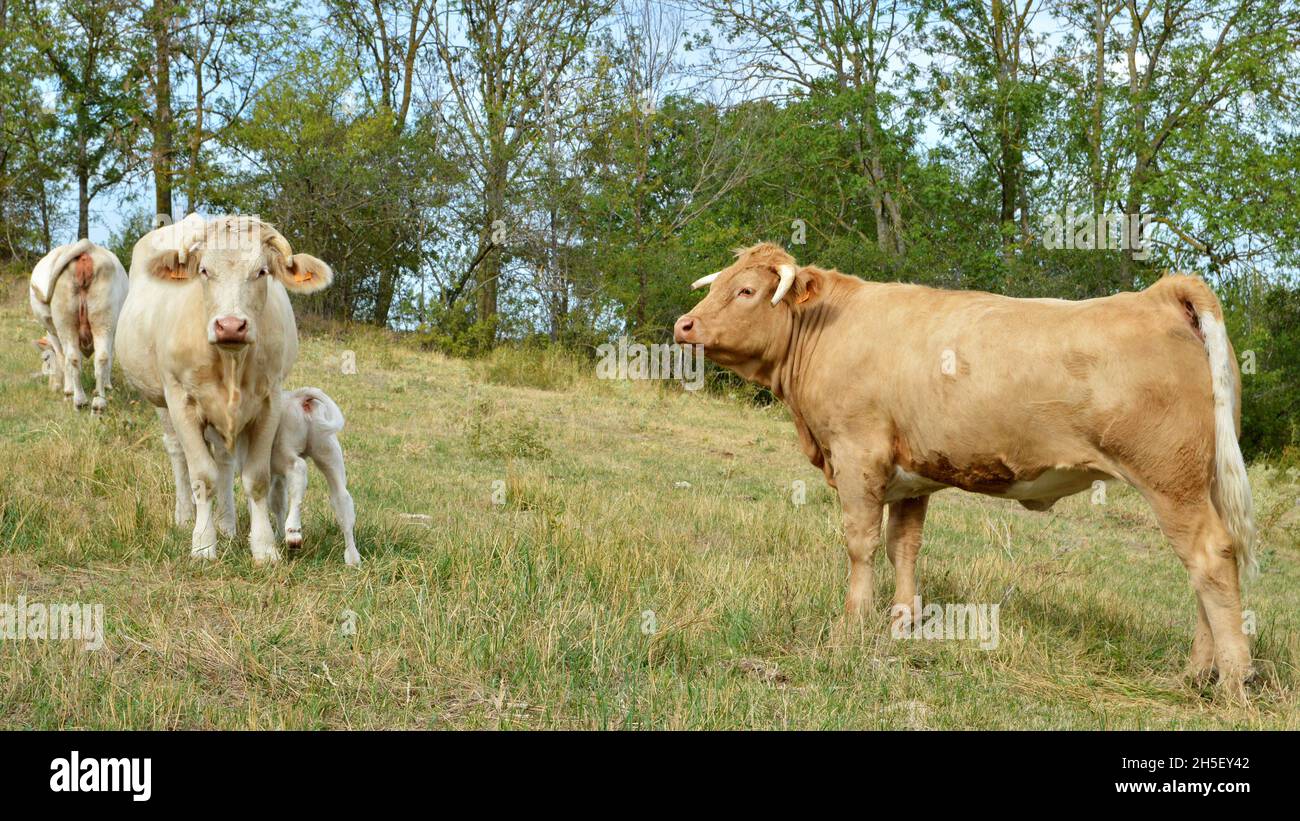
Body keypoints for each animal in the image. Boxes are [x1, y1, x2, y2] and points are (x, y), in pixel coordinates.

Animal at [28, 239, 129, 412]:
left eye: (46, 360)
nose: (52, 388)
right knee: (99, 357)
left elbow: (62, 359)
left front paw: (68, 391)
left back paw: (78, 399)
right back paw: (97, 403)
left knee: (72, 357)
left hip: (66, 324)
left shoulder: (52, 332)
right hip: (103, 320)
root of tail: (86, 246)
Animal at [115, 214, 333, 563]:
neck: (231, 360)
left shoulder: (269, 401)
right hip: (162, 401)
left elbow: (255, 478)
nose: (231, 326)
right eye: (204, 270)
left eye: (262, 271)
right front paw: (203, 544)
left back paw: (227, 524)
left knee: (225, 462)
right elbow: (202, 476)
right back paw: (185, 516)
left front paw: (263, 547)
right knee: (177, 454)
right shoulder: (181, 400)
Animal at [674, 243, 1257, 698]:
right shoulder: (911, 472)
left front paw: (851, 625)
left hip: (1168, 478)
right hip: (1198, 479)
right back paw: (1195, 674)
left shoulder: (858, 453)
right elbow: (903, 546)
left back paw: (1230, 680)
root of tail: (1161, 292)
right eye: (718, 283)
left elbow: (861, 543)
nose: (684, 324)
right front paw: (903, 620)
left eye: (746, 290)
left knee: (1209, 556)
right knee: (1205, 565)